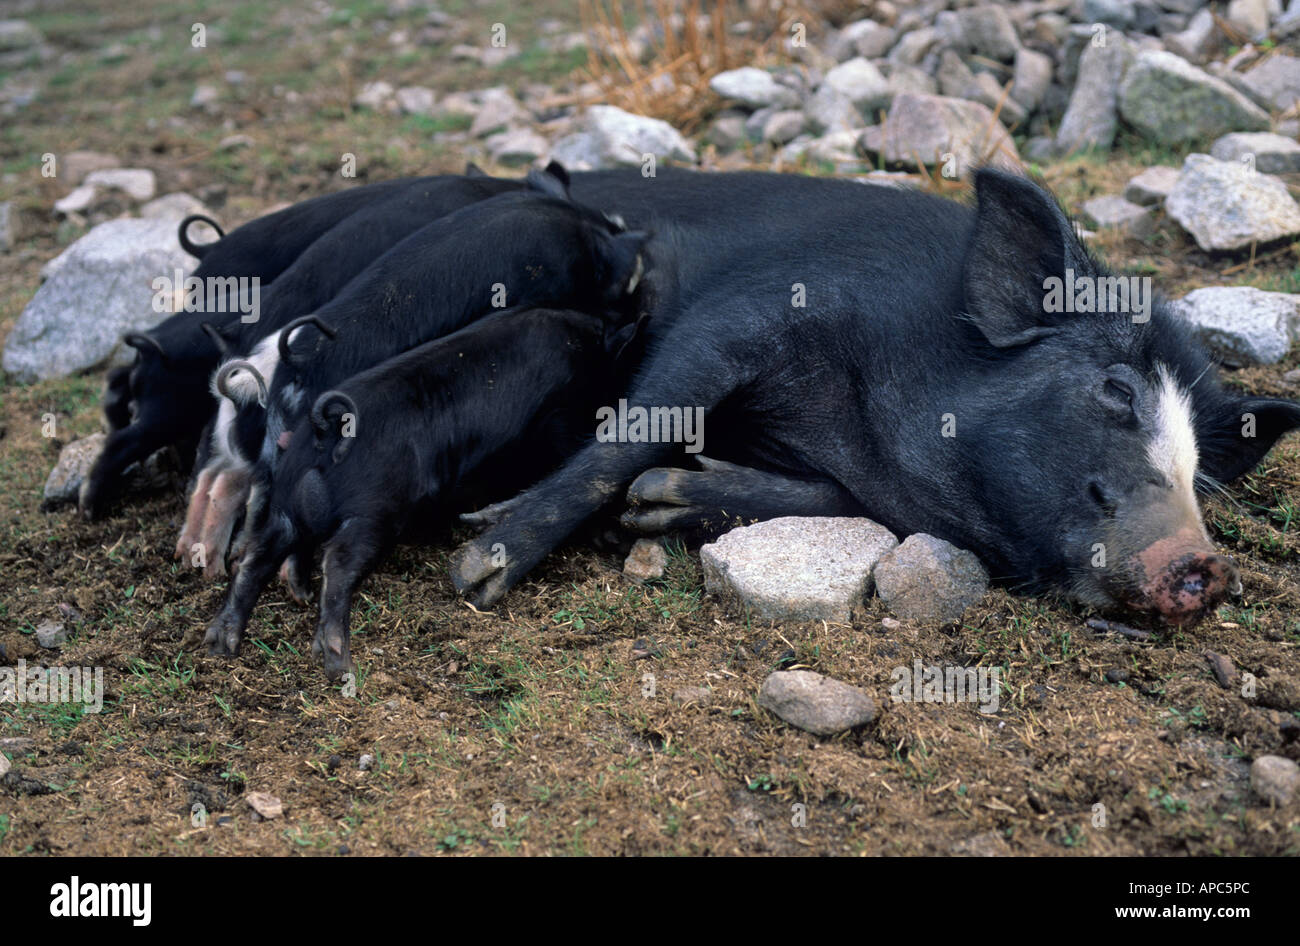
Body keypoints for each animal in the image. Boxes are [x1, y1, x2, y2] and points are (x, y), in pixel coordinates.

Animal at [204, 307, 642, 678]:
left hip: (287, 509)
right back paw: (341, 666)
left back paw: (220, 644)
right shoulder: (559, 421)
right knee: (337, 563)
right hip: (373, 513)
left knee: (256, 558)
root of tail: (325, 429)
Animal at [450, 167, 1300, 628]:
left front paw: (656, 500)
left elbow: (834, 501)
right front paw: (475, 569)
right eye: (1117, 388)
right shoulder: (747, 311)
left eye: (1202, 470)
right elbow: (638, 426)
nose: (1203, 562)